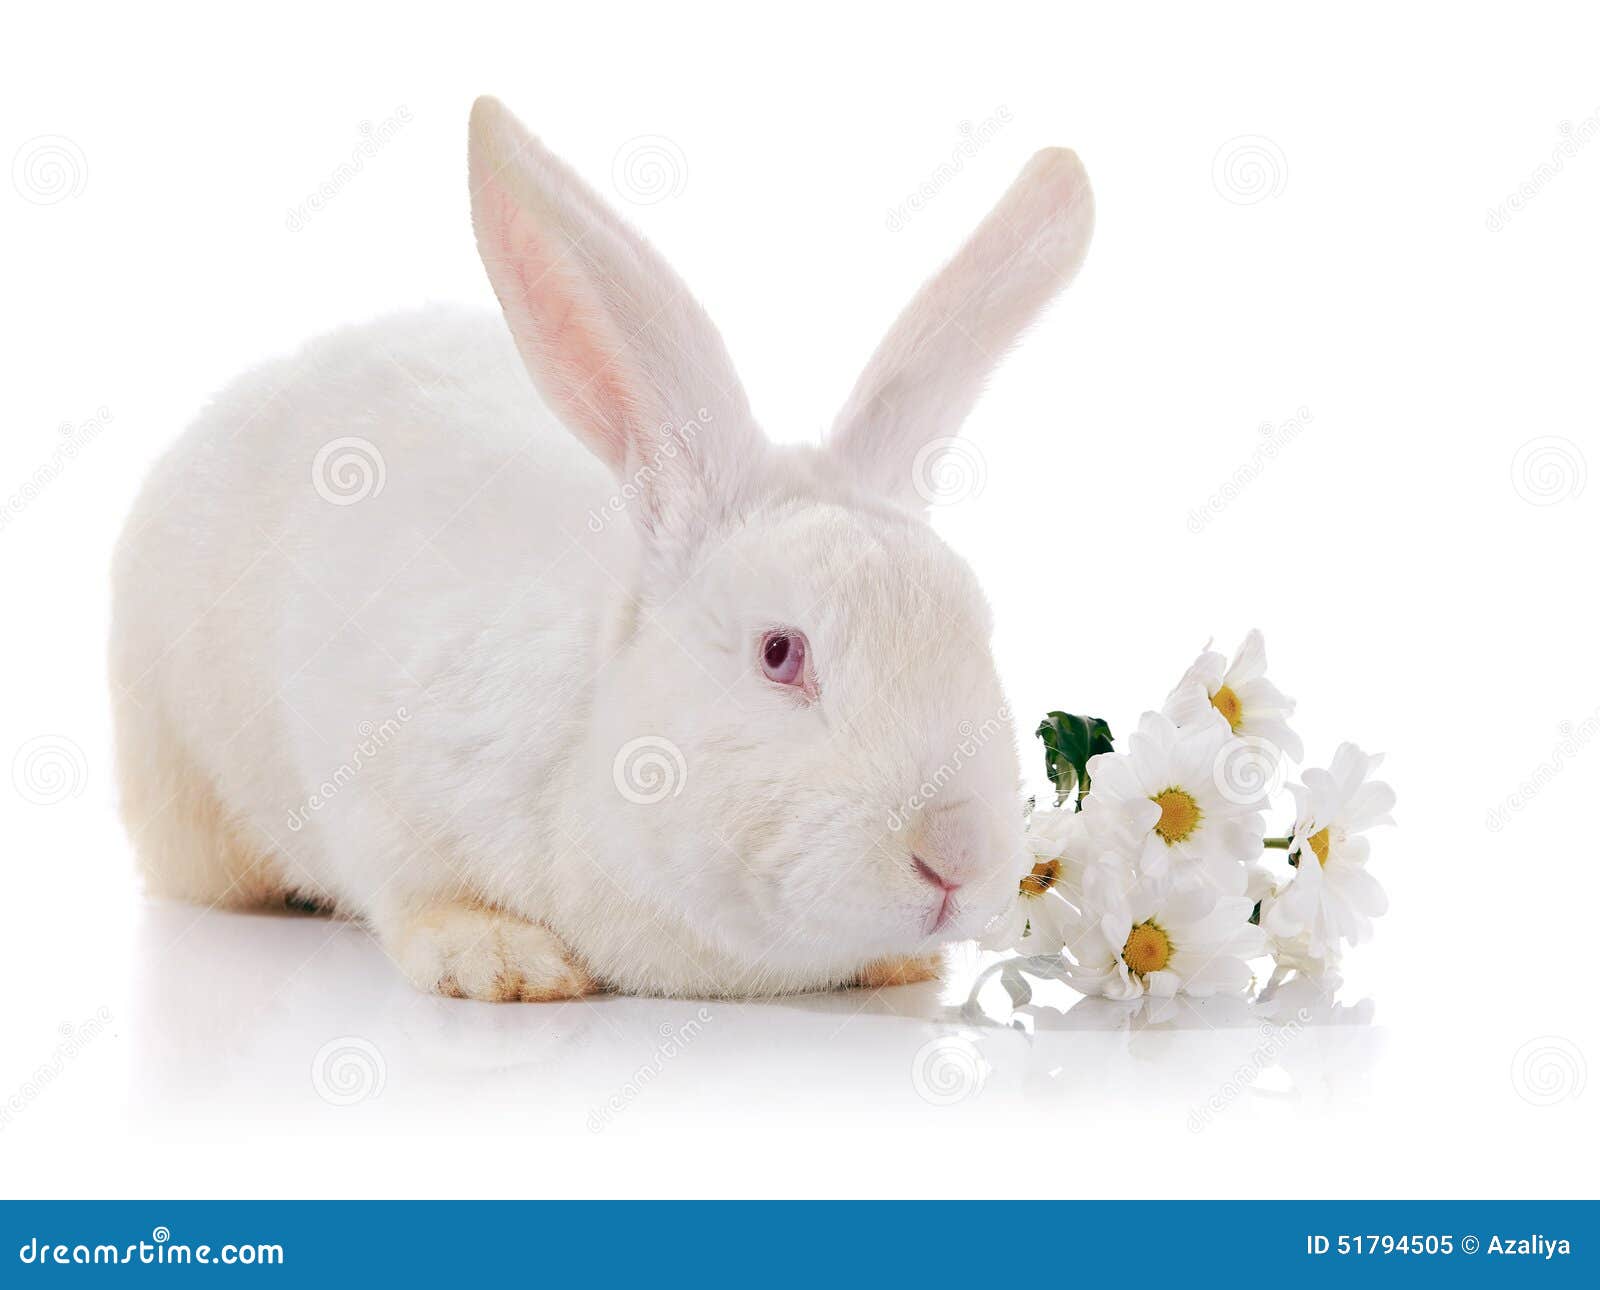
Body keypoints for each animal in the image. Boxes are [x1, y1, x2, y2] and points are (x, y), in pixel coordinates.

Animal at [110, 97, 1095, 1001]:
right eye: (780, 653)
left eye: (978, 632)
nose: (956, 854)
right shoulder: (374, 782)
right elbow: (417, 892)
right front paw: (504, 961)